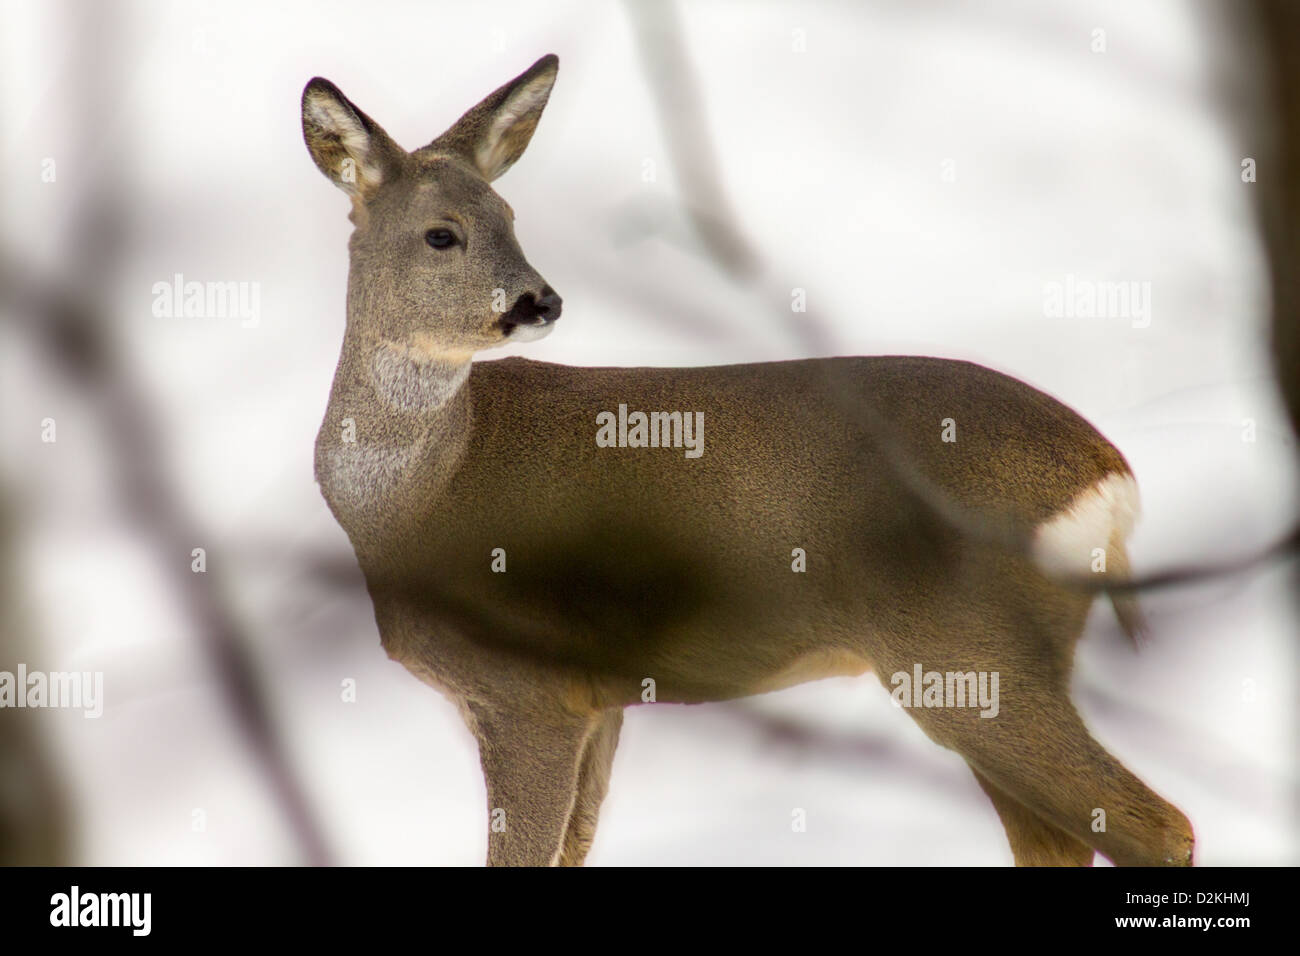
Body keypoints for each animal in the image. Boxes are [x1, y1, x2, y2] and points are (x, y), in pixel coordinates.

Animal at [301, 53, 1194, 867]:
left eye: (510, 217)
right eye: (442, 234)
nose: (539, 301)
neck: (421, 495)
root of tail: (1109, 474)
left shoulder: (532, 691)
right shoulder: (596, 702)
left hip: (966, 650)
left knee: (1157, 827)